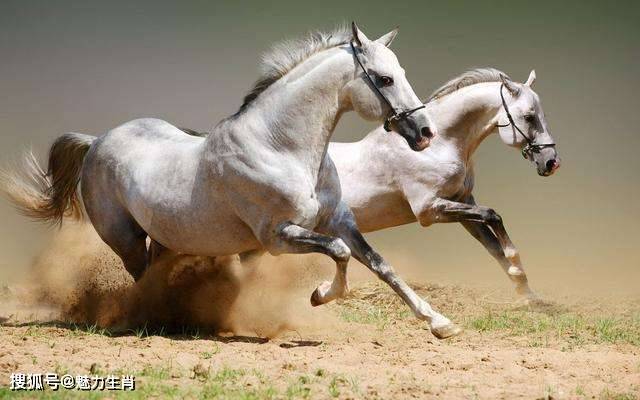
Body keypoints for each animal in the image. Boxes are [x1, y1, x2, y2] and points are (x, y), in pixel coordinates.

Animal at [2, 23, 464, 338]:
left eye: (400, 71)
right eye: (384, 79)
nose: (425, 132)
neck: (281, 147)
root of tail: (97, 140)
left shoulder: (339, 221)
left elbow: (380, 264)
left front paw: (440, 322)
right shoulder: (277, 237)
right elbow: (339, 253)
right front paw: (319, 295)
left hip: (166, 238)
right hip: (125, 238)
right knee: (140, 278)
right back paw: (153, 319)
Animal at [329, 68, 560, 303]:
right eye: (529, 117)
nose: (551, 162)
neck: (437, 146)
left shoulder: (462, 202)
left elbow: (493, 246)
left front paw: (528, 294)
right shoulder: (428, 210)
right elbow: (492, 215)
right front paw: (516, 267)